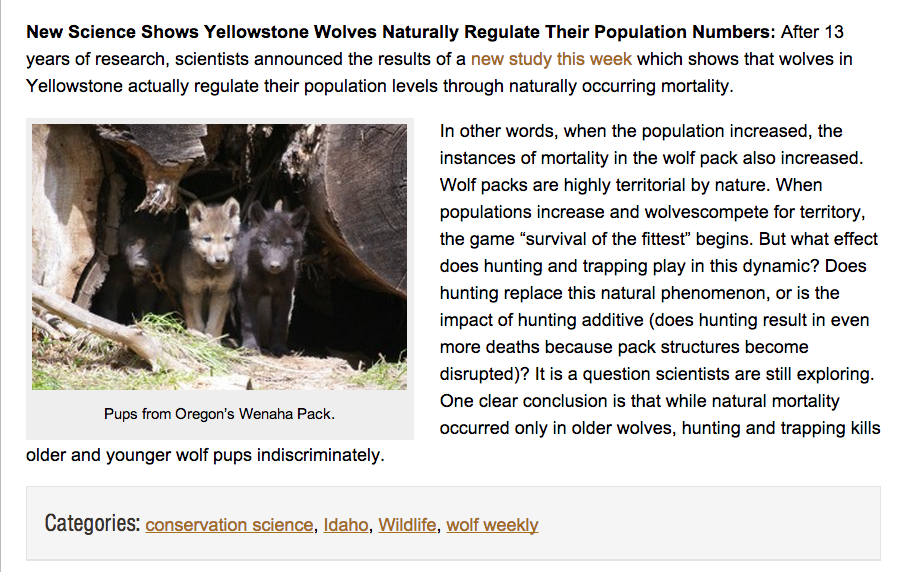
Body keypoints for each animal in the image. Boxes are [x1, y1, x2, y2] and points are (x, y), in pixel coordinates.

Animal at [166, 198, 241, 338]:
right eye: (207, 239)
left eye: (227, 238)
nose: (220, 259)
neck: (210, 272)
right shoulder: (192, 293)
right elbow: (197, 323)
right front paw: (196, 336)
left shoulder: (221, 293)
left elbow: (214, 323)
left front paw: (213, 340)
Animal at [234, 200, 309, 355]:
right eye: (265, 243)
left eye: (286, 244)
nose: (275, 266)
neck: (270, 277)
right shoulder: (247, 292)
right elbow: (249, 322)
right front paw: (250, 347)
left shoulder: (283, 294)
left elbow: (279, 323)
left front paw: (278, 348)